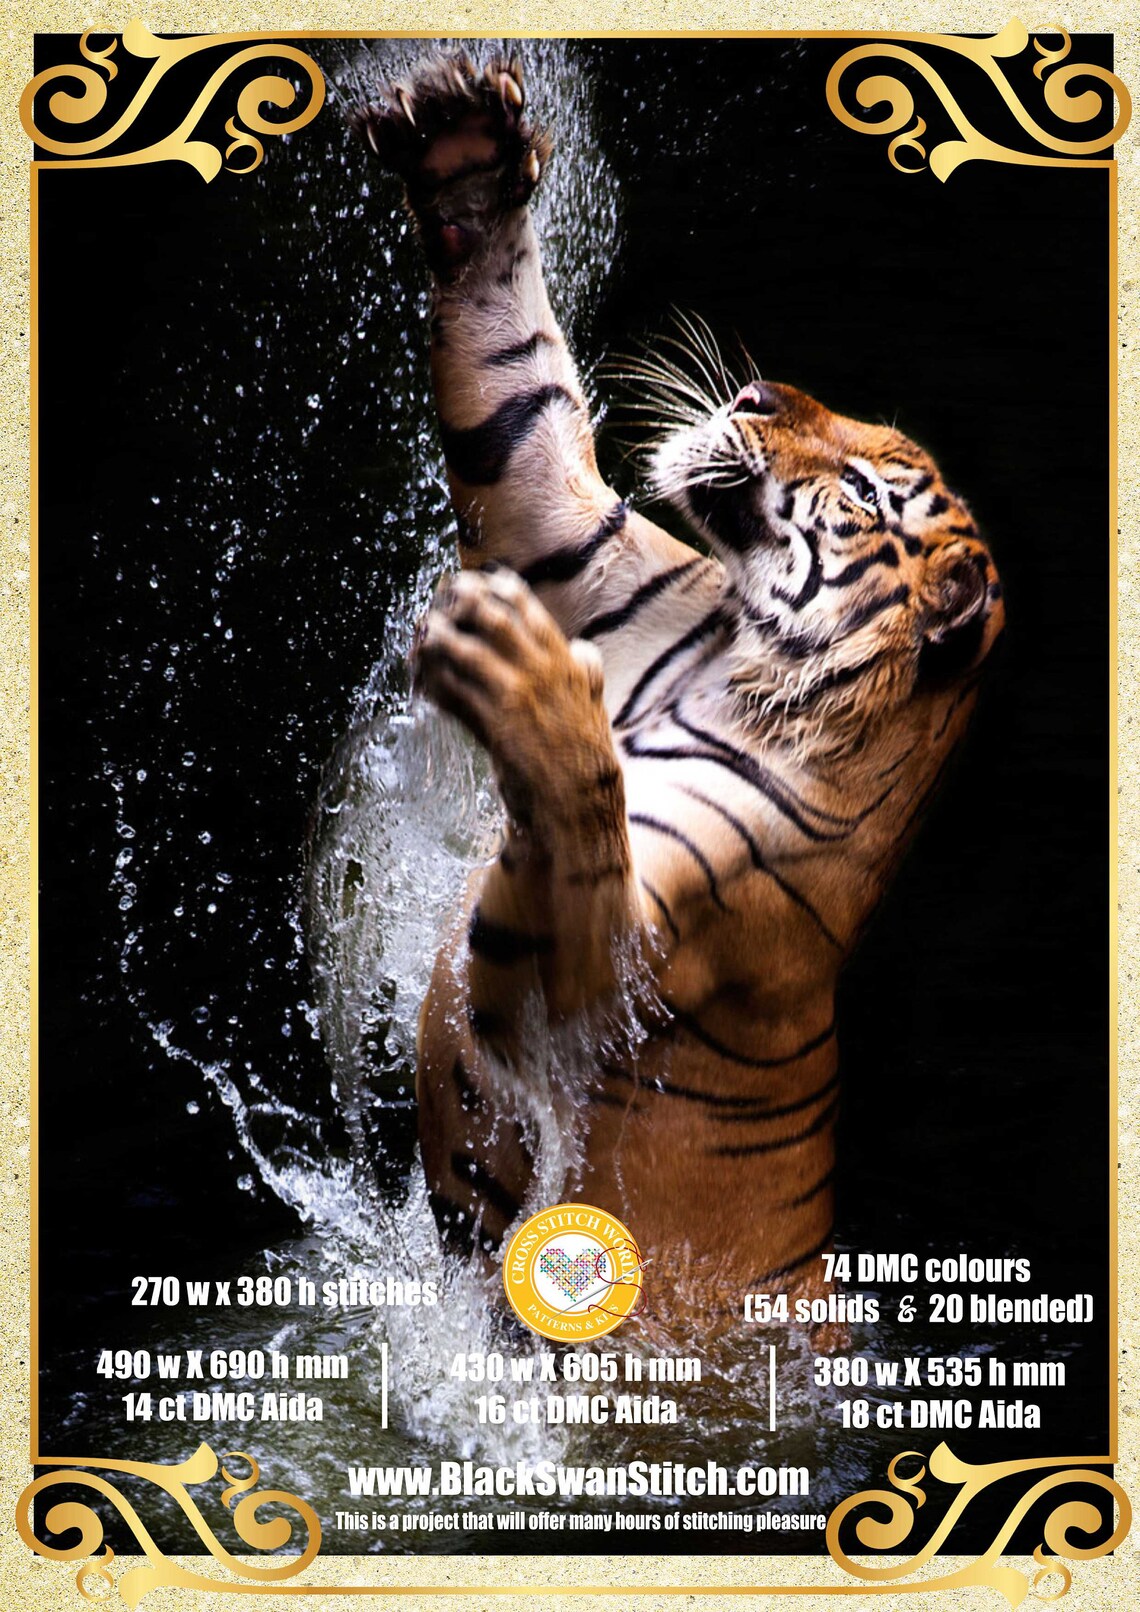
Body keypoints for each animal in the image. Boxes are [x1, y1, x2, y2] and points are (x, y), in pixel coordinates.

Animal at [351, 50, 1005, 1307]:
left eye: (863, 485)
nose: (756, 395)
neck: (728, 655)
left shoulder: (609, 982)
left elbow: (581, 829)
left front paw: (522, 680)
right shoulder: (582, 546)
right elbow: (520, 398)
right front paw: (467, 154)